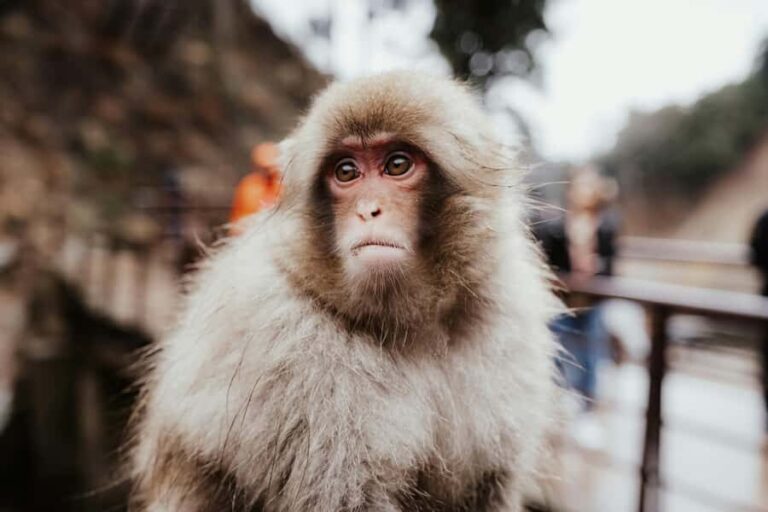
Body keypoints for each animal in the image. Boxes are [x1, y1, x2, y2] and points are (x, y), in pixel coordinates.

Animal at [128, 71, 562, 512]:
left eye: (397, 165)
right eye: (347, 172)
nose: (368, 210)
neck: (411, 330)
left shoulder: (507, 328)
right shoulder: (296, 358)